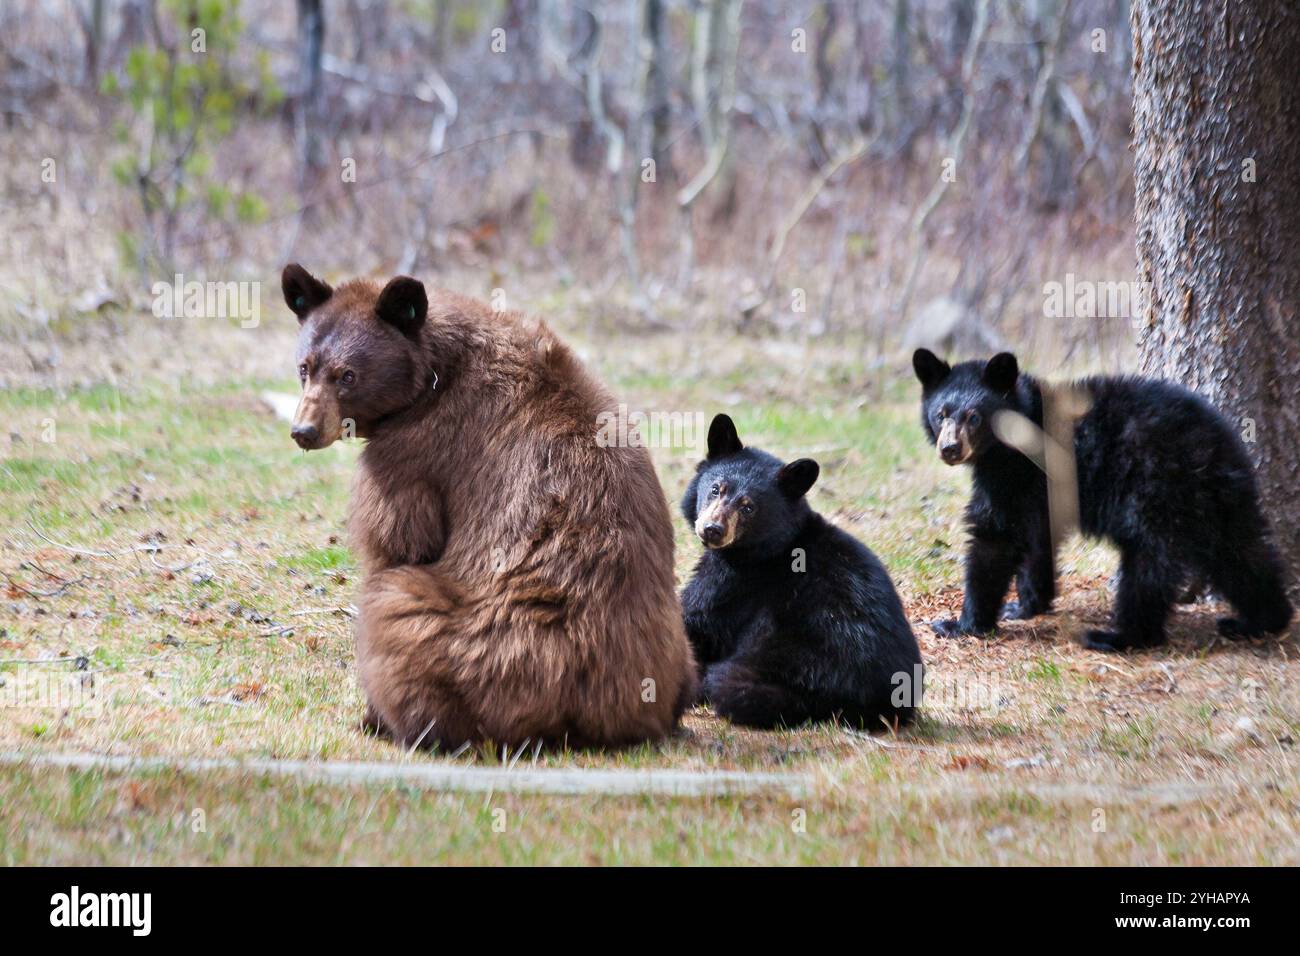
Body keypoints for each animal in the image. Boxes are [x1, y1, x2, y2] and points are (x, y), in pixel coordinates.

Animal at [282, 263, 696, 749]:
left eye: (348, 375)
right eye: (305, 368)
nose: (304, 431)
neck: (434, 372)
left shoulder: (416, 454)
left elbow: (396, 543)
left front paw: (368, 714)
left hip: (485, 654)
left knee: (396, 606)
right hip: (680, 651)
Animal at [679, 413, 924, 729]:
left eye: (749, 507)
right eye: (715, 488)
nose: (712, 529)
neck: (773, 546)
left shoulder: (734, 581)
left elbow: (698, 617)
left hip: (787, 649)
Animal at [912, 348, 1294, 652]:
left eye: (974, 417)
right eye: (941, 414)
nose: (950, 449)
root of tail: (1215, 441)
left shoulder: (1015, 472)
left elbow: (996, 537)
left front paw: (960, 624)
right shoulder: (1039, 490)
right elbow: (1037, 539)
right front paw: (1023, 607)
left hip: (1156, 491)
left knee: (1148, 565)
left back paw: (1120, 637)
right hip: (1221, 499)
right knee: (1242, 551)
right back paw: (1262, 619)